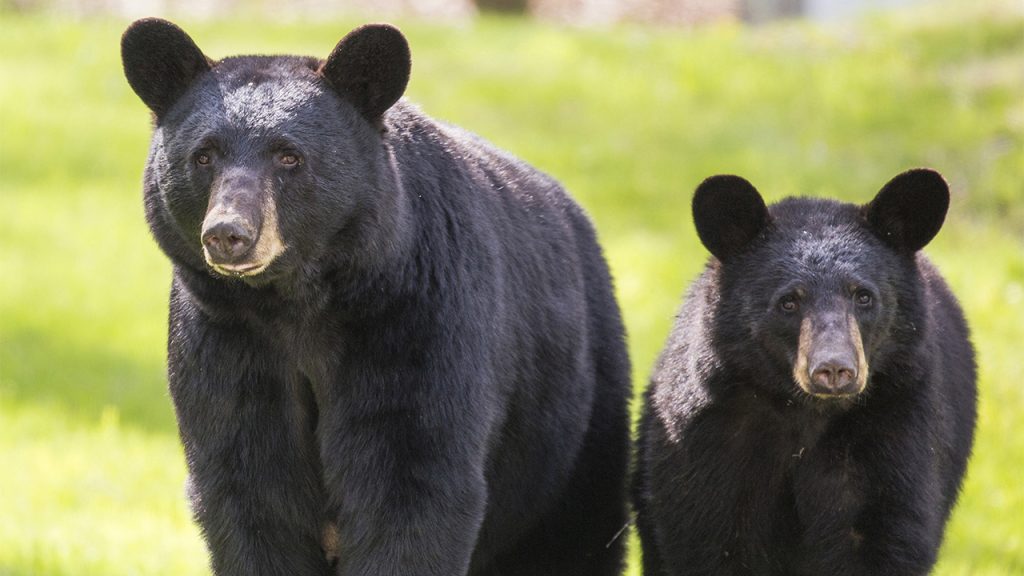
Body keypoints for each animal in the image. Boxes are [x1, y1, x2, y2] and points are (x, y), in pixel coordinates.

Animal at [121, 19, 631, 576]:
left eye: (289, 156)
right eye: (204, 155)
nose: (228, 234)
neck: (296, 304)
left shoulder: (415, 320)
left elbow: (409, 482)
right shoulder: (224, 339)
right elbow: (252, 489)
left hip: (572, 418)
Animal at [633, 169, 977, 575]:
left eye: (863, 296)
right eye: (789, 302)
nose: (834, 369)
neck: (806, 412)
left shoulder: (896, 432)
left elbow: (884, 536)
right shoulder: (711, 442)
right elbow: (707, 535)